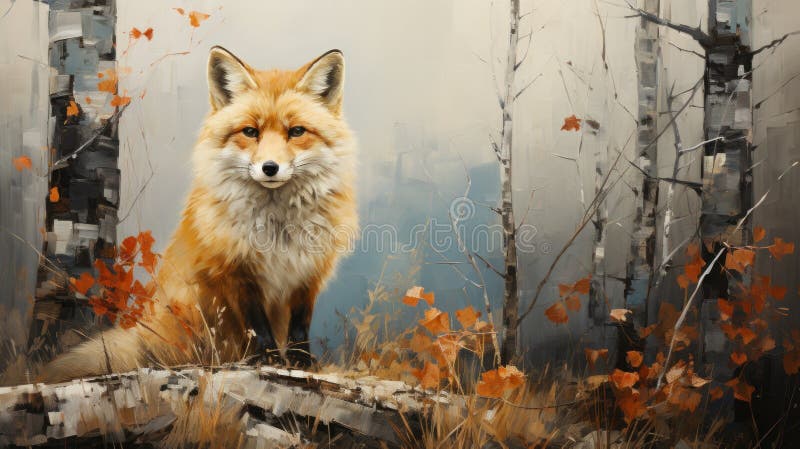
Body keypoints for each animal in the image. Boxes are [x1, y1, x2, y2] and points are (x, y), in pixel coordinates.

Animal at [42, 47, 358, 382]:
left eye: (297, 132)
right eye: (250, 132)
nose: (270, 168)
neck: (277, 230)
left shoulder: (307, 274)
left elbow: (299, 326)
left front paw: (301, 361)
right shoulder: (233, 271)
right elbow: (257, 326)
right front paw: (267, 359)